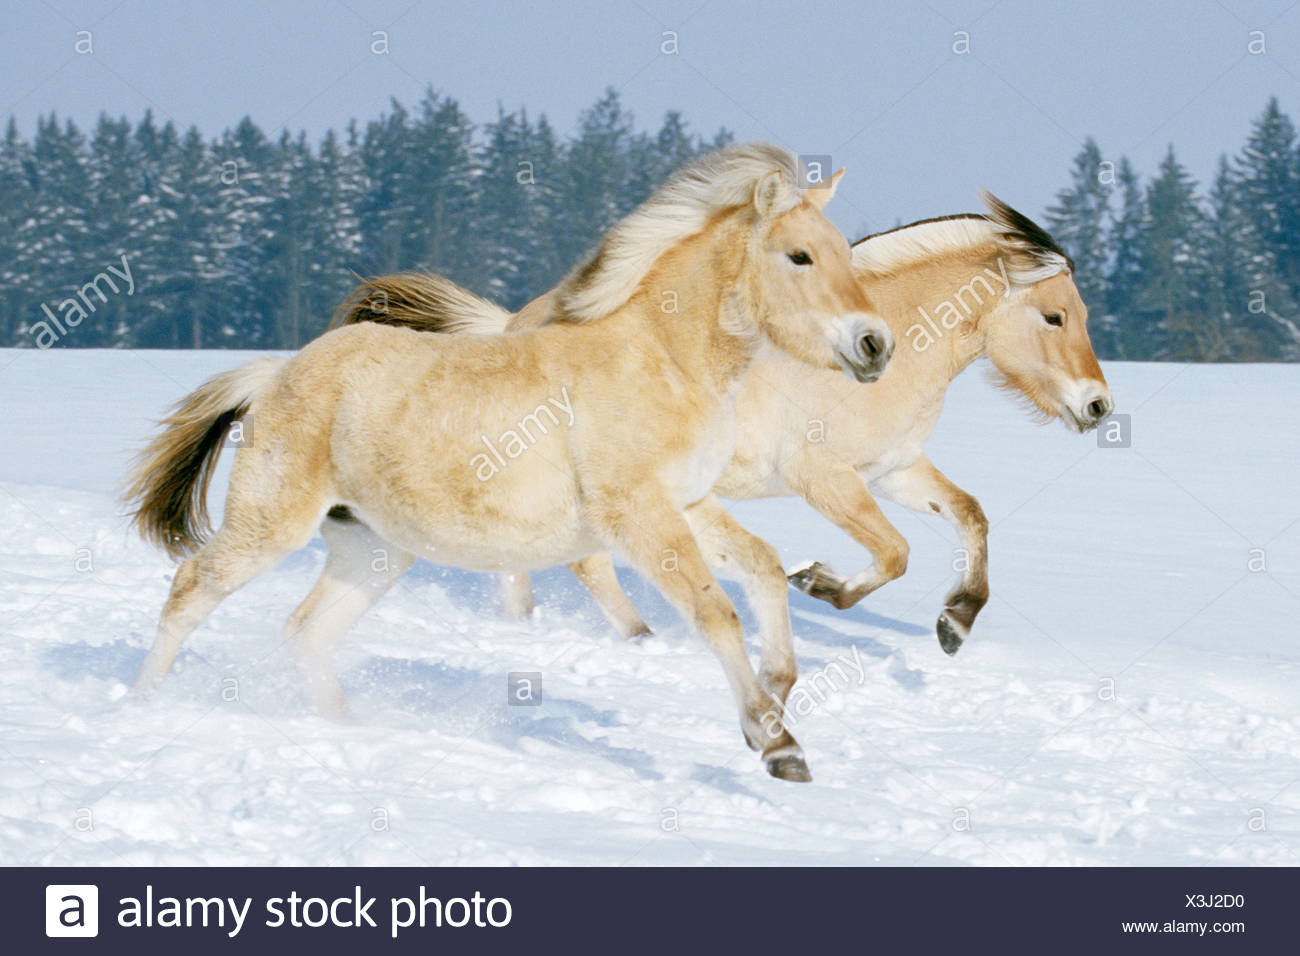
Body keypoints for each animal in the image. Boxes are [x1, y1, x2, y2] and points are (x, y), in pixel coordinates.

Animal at [123, 142, 894, 782]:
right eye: (799, 256)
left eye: (843, 253)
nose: (875, 344)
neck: (662, 357)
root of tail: (276, 375)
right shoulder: (640, 512)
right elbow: (713, 610)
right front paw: (775, 743)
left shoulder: (689, 503)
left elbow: (763, 567)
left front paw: (779, 694)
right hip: (272, 522)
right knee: (191, 589)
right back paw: (143, 704)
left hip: (371, 550)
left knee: (305, 632)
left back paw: (351, 727)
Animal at [328, 193, 1112, 659]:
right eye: (1054, 317)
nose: (1099, 406)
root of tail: (514, 325)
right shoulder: (825, 479)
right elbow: (893, 554)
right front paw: (820, 583)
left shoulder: (893, 470)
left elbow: (970, 516)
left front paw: (956, 622)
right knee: (584, 562)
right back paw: (640, 639)